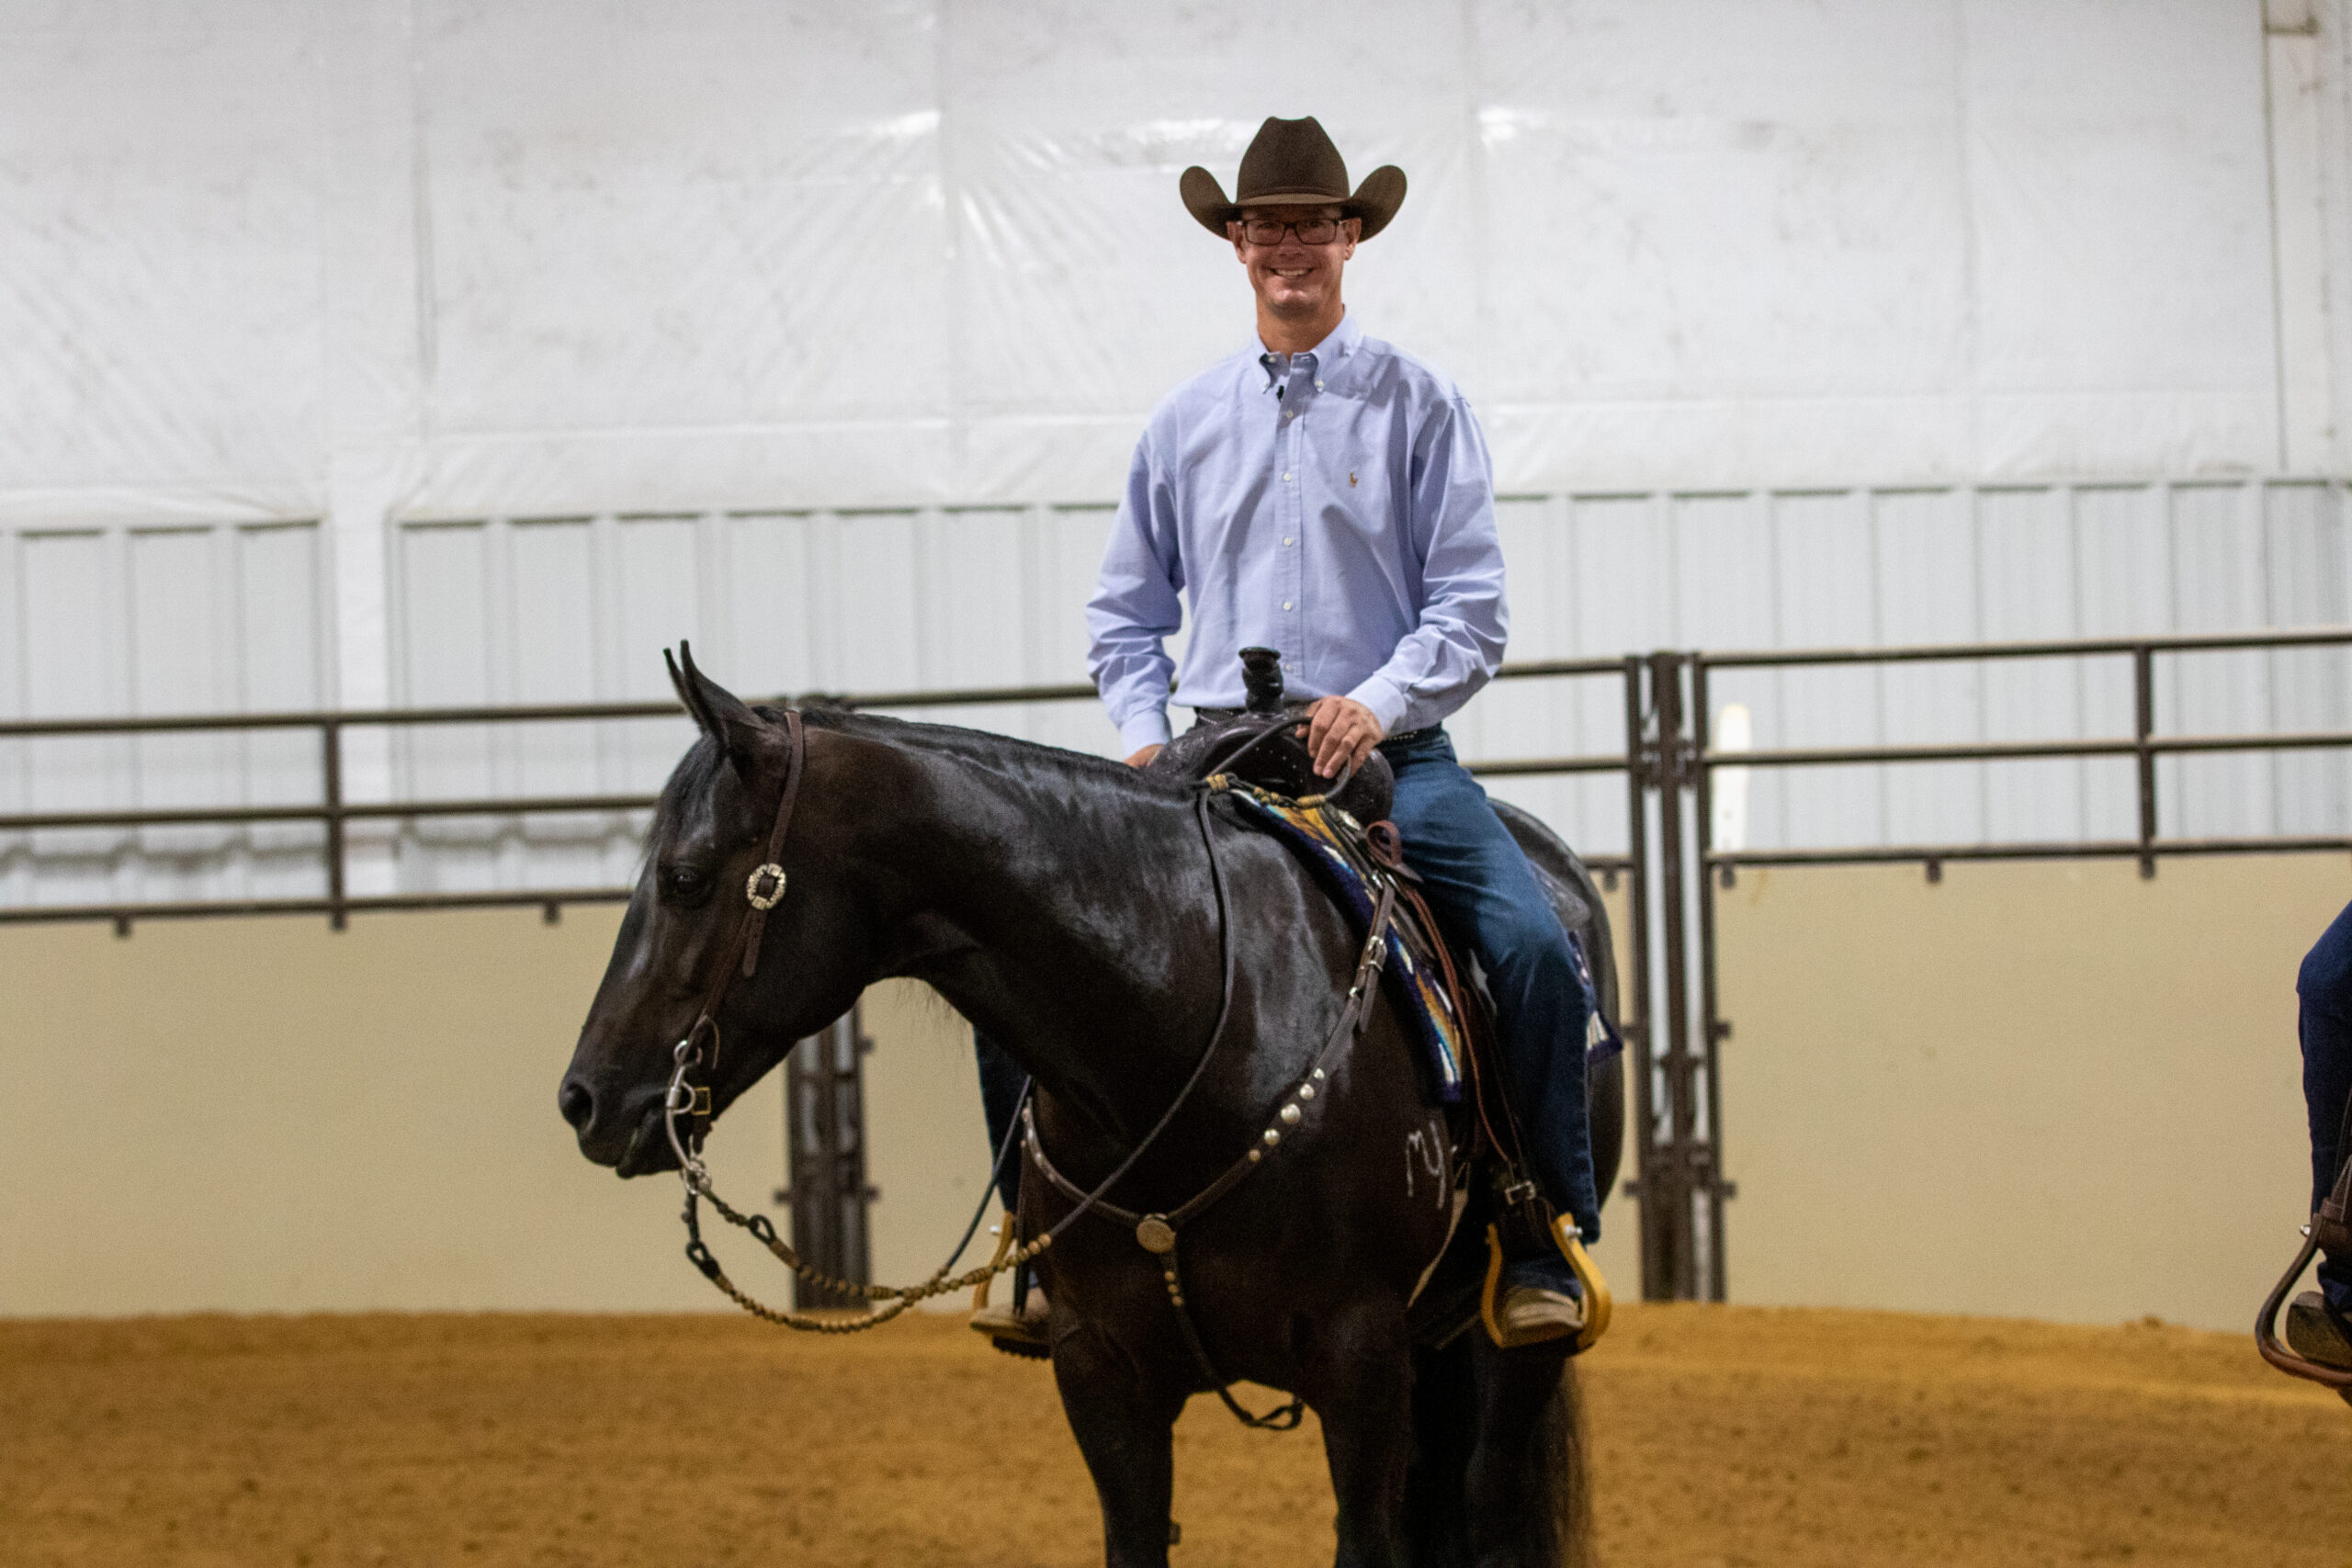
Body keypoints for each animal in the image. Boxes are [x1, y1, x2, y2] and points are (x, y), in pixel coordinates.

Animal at [558, 650, 1619, 1568]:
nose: (583, 1098)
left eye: (686, 877)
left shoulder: (1361, 1365)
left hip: (1507, 1352)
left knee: (1488, 1502)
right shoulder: (1101, 1372)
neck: (1198, 1024)